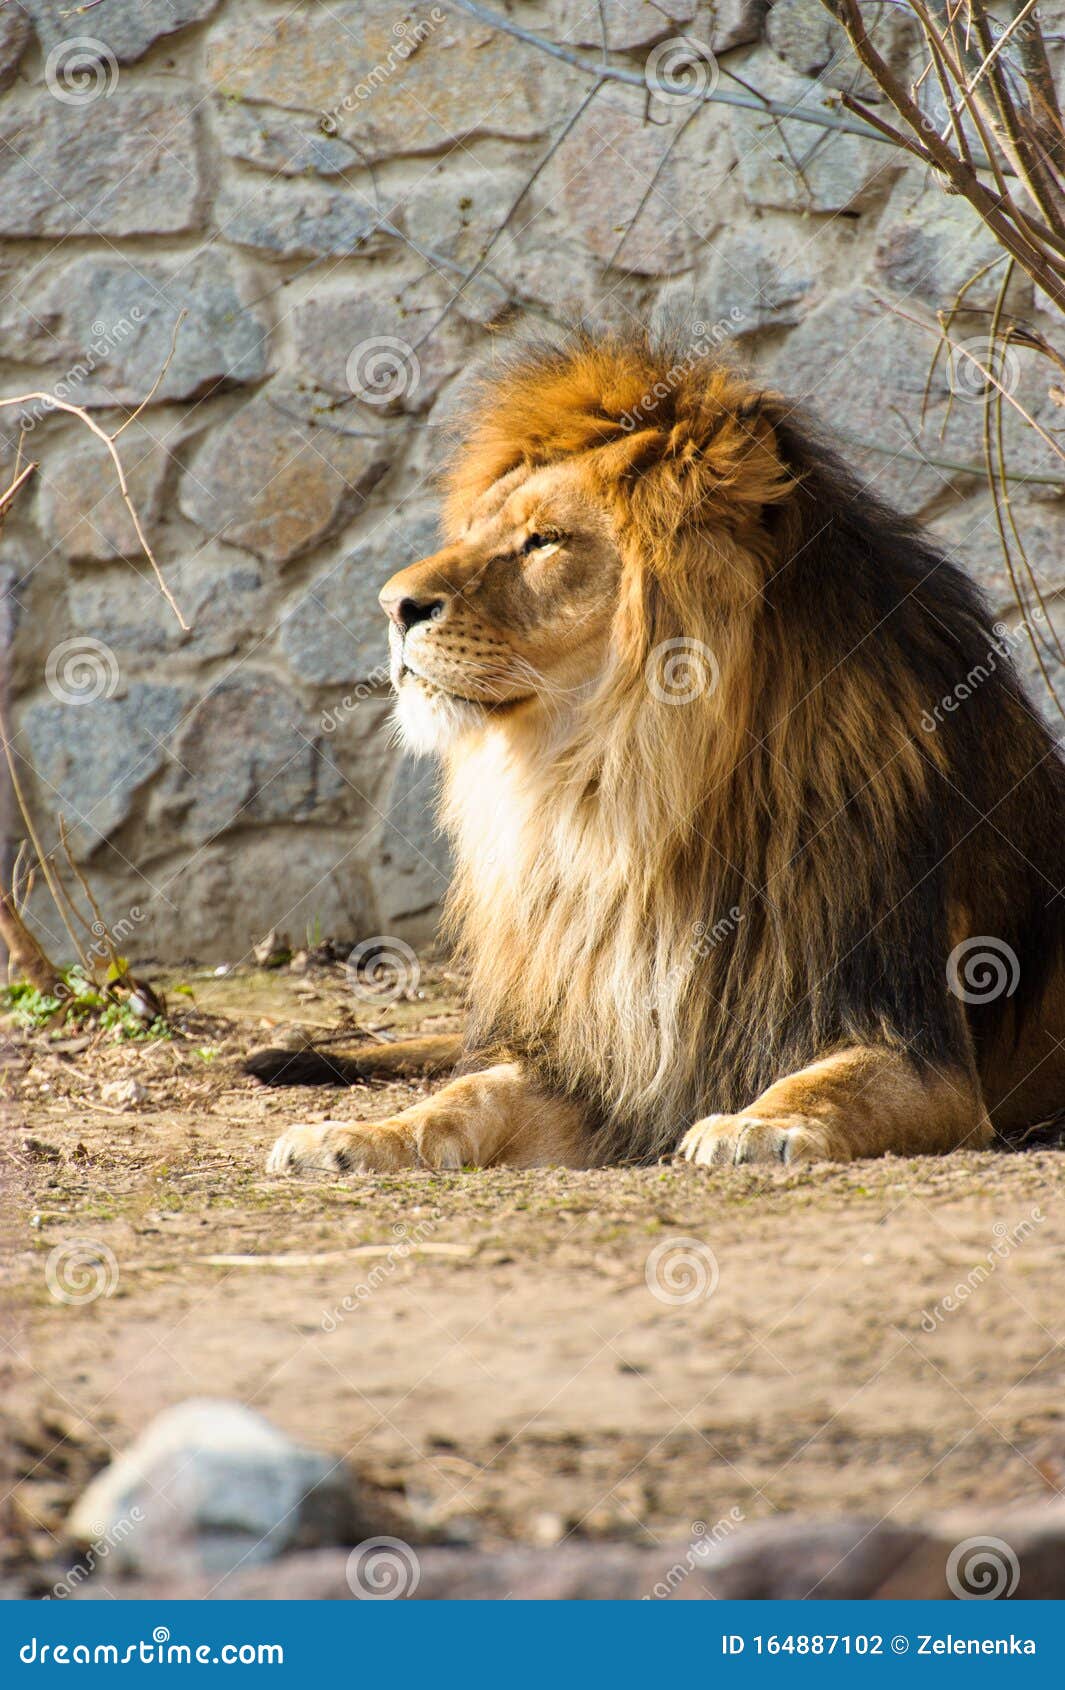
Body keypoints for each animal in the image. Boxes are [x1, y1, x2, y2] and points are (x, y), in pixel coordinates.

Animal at [254, 332, 1065, 1175]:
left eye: (542, 541)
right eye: (474, 531)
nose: (392, 606)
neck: (621, 797)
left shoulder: (921, 1051)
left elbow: (831, 1084)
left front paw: (755, 1126)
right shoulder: (595, 1058)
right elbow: (468, 1095)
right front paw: (353, 1136)